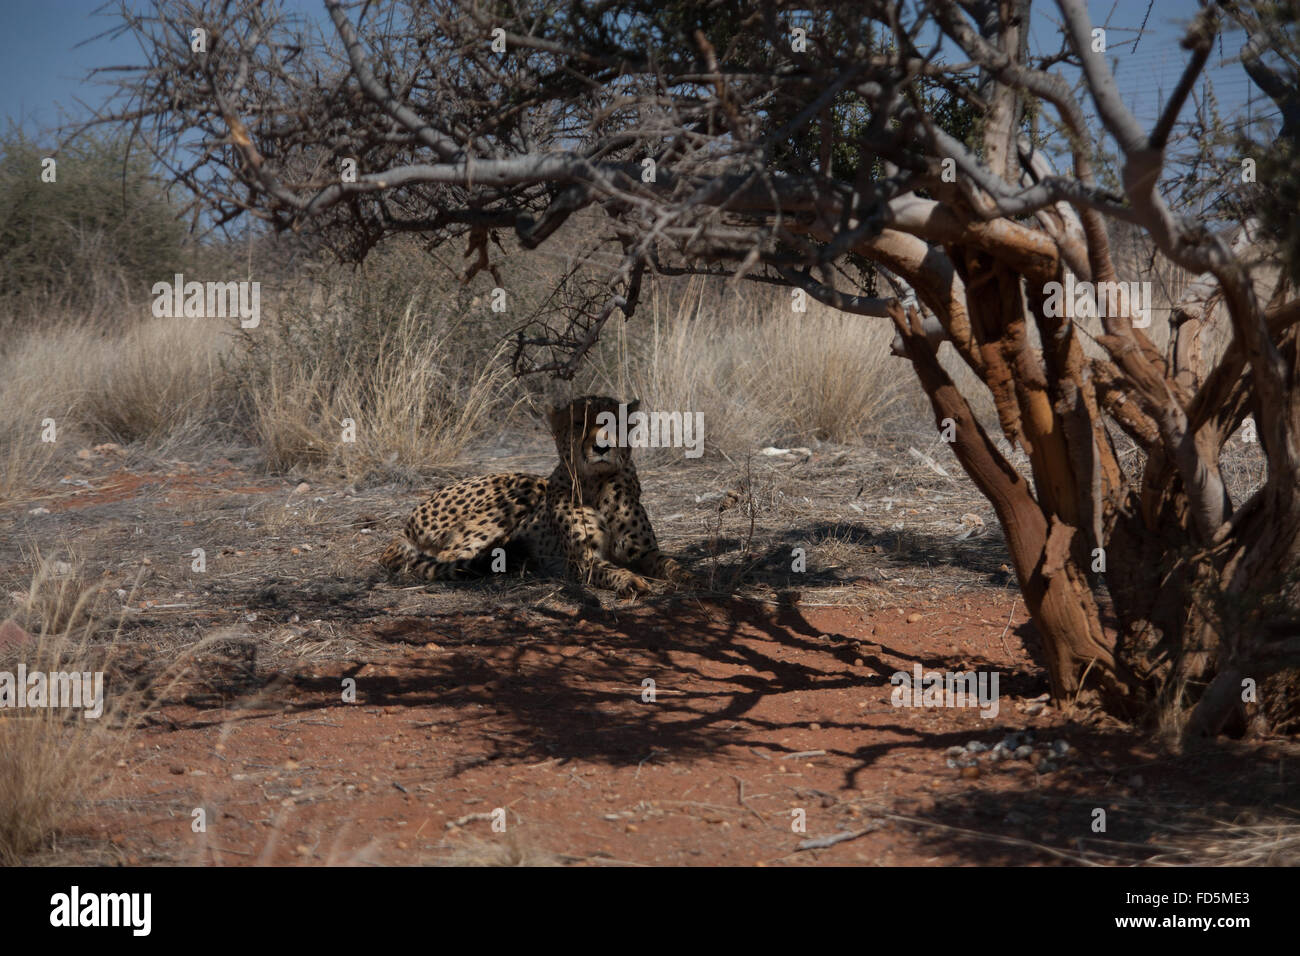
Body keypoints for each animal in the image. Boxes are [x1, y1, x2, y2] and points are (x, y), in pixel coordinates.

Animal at [378, 395, 689, 595]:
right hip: (516, 495)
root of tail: (407, 524)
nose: (601, 447)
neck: (599, 483)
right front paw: (629, 580)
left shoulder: (644, 551)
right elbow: (608, 569)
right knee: (448, 558)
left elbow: (670, 562)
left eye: (614, 422)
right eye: (579, 423)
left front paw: (686, 576)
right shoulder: (582, 560)